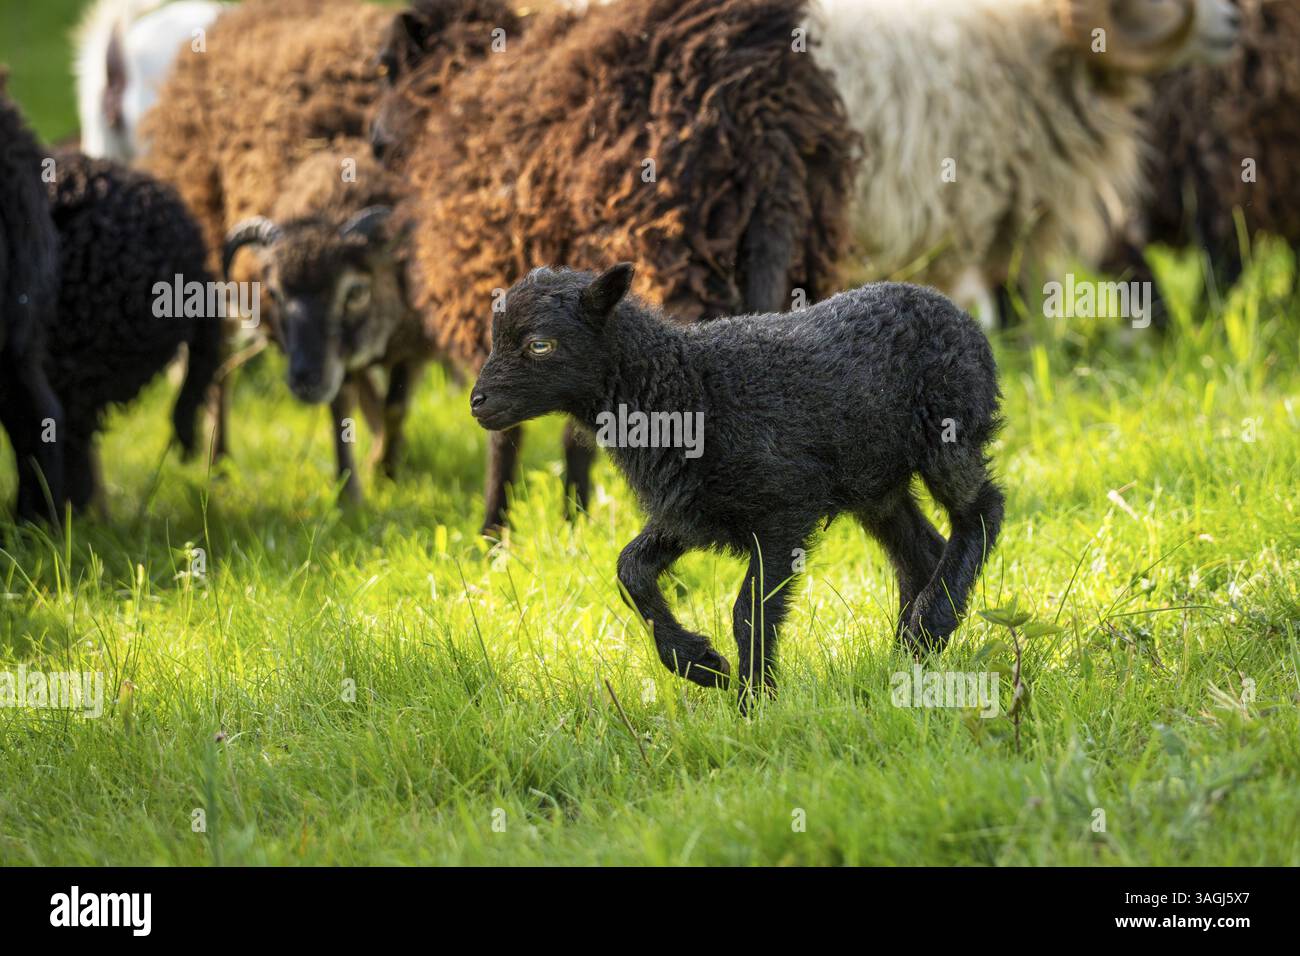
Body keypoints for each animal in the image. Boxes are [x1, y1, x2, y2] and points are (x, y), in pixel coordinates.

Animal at [378, 0, 857, 532]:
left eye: (386, 67)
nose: (375, 144)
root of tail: (764, 117)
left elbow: (509, 429)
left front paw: (498, 528)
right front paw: (574, 517)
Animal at [471, 265, 1004, 701]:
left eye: (540, 344)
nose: (477, 403)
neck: (686, 387)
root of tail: (951, 309)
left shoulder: (782, 511)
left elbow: (750, 611)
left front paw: (754, 702)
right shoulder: (690, 506)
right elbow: (629, 570)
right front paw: (702, 665)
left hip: (948, 432)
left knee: (982, 510)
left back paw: (930, 624)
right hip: (875, 481)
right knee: (922, 549)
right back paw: (911, 652)